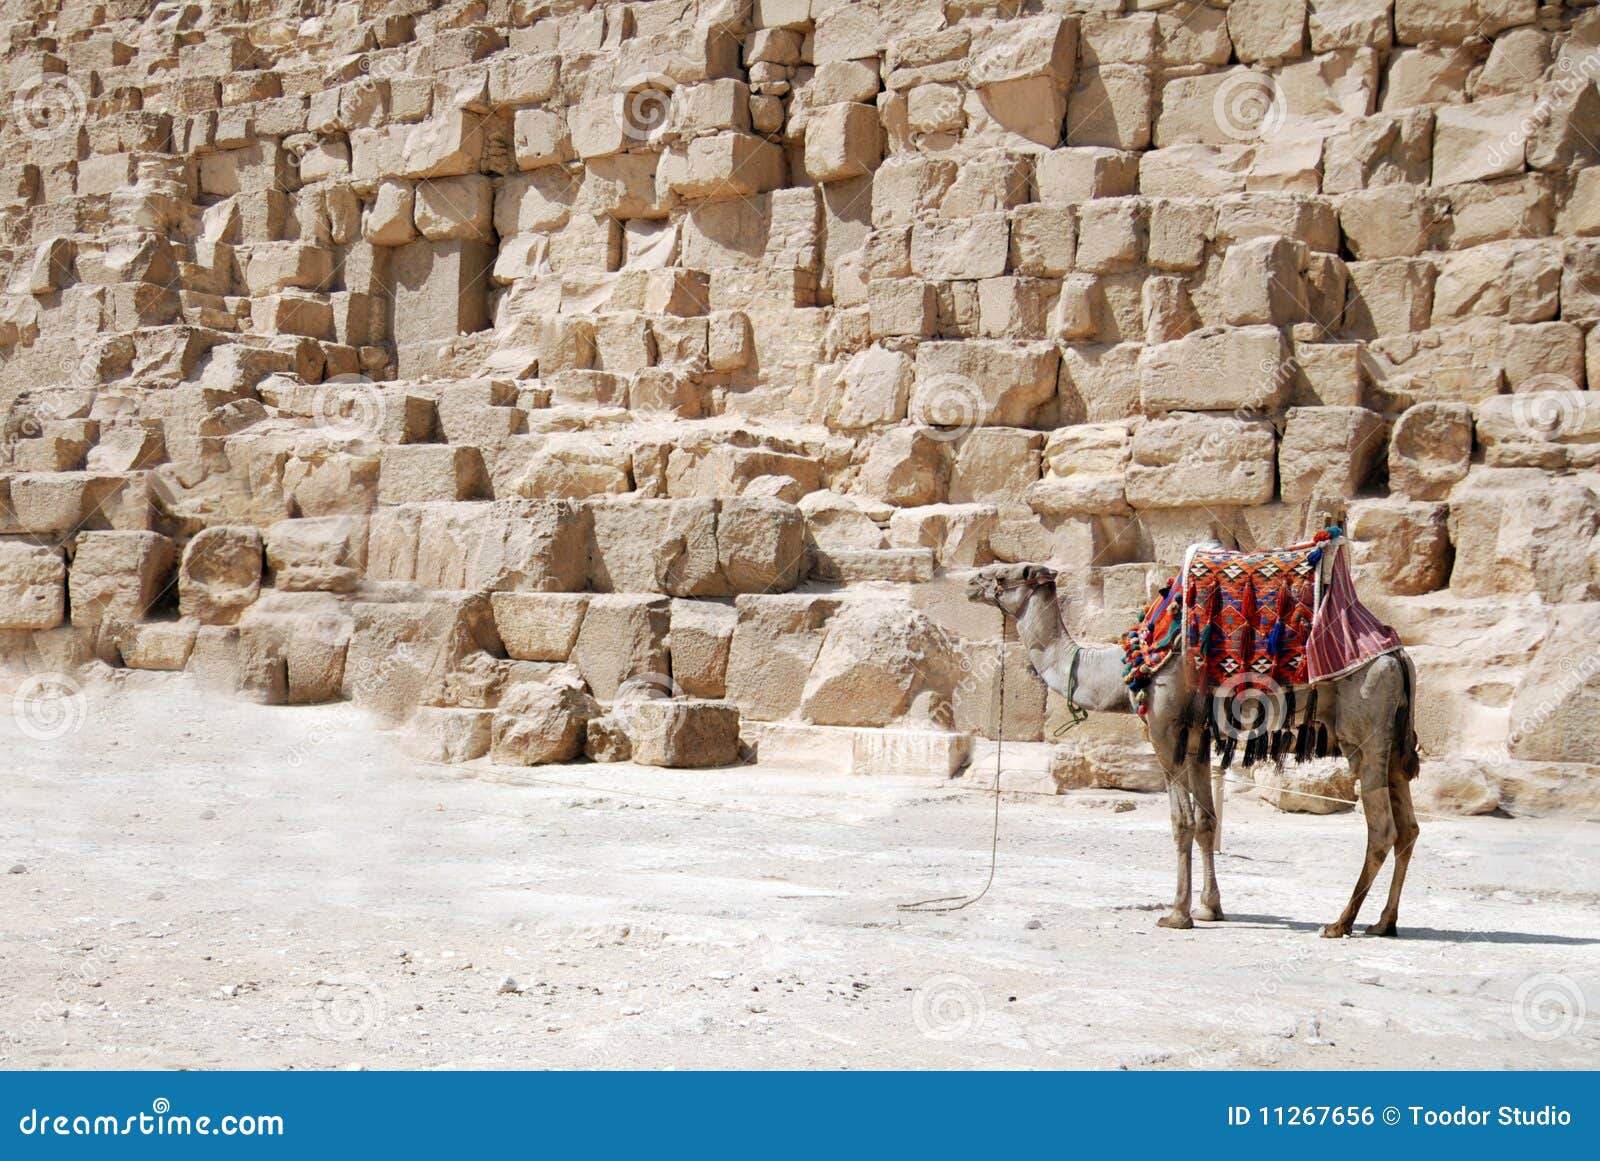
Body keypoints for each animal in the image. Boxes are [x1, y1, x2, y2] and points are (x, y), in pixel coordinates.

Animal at [968, 561, 1421, 938]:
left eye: (1005, 573)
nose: (971, 583)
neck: (1122, 669)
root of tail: (1398, 657)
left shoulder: (1163, 729)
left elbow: (1181, 822)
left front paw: (1177, 914)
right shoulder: (1197, 737)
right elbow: (1206, 820)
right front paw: (1209, 909)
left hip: (1363, 730)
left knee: (1382, 828)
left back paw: (1341, 922)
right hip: (1393, 740)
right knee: (1409, 827)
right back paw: (1384, 922)